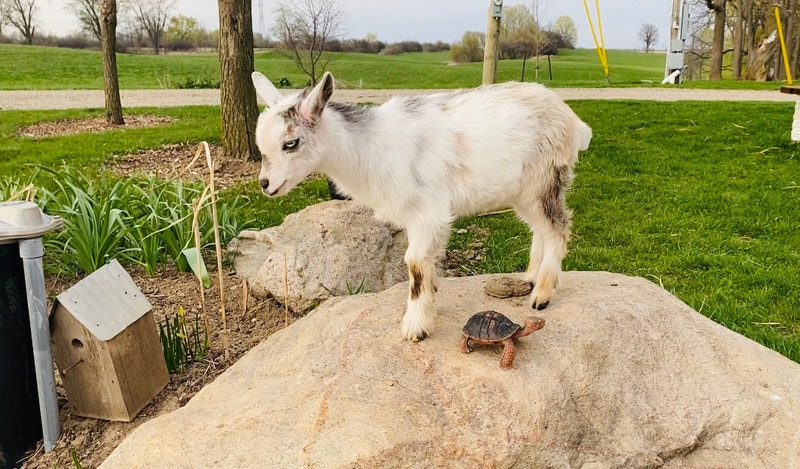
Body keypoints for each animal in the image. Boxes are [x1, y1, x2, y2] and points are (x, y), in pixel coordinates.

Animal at [251, 71, 592, 341]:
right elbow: (424, 262)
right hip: (523, 191)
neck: (368, 150)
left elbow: (414, 262)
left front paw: (416, 327)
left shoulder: (428, 212)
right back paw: (530, 277)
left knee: (558, 228)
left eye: (291, 143)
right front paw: (432, 296)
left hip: (544, 178)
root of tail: (573, 121)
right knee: (540, 228)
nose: (265, 184)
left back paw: (542, 295)